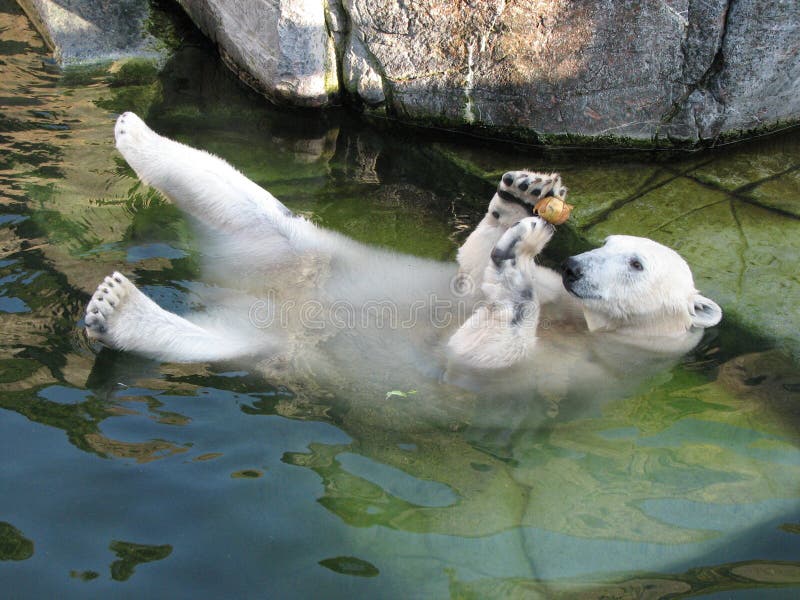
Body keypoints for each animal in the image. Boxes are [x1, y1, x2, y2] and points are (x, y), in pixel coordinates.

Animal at [84, 112, 721, 406]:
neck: (593, 326)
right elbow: (467, 274)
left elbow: (475, 356)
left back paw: (116, 309)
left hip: (278, 342)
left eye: (636, 263)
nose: (575, 268)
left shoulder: (593, 372)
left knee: (220, 340)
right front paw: (523, 195)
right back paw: (137, 134)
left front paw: (517, 258)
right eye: (605, 244)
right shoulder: (555, 299)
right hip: (311, 254)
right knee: (252, 210)